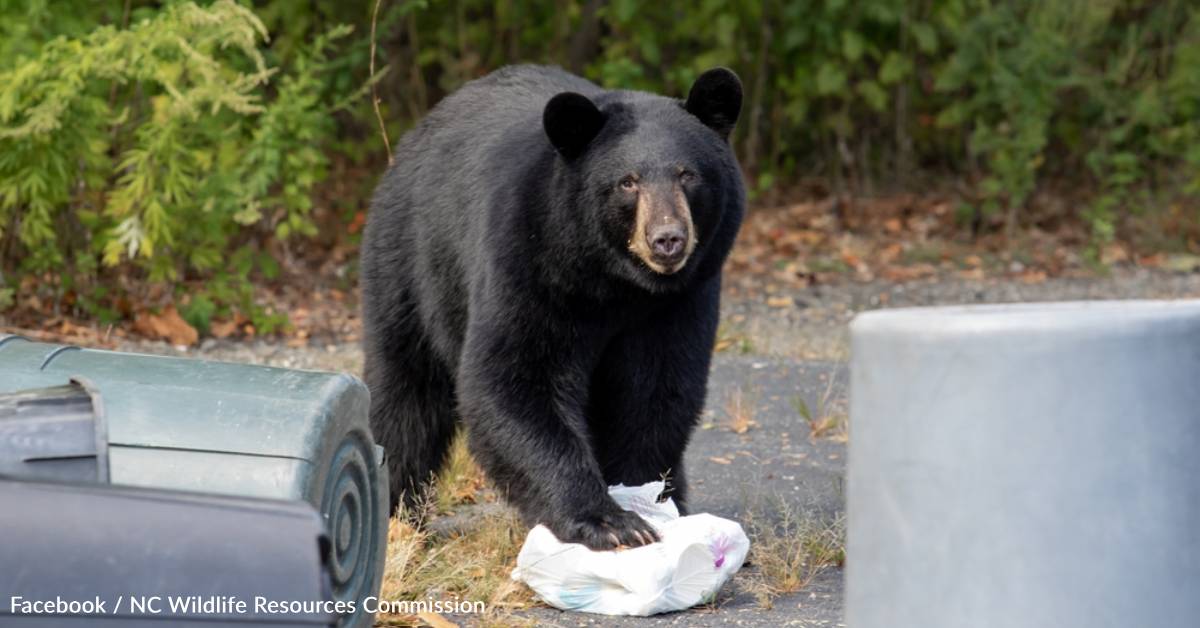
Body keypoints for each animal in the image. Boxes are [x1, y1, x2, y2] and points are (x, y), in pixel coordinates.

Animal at [360, 64, 744, 550]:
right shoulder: (530, 264)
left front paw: (644, 499)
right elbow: (514, 379)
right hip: (412, 265)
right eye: (628, 181)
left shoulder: (680, 300)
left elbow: (656, 390)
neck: (615, 282)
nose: (667, 239)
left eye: (687, 175)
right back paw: (398, 516)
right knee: (405, 395)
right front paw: (610, 522)